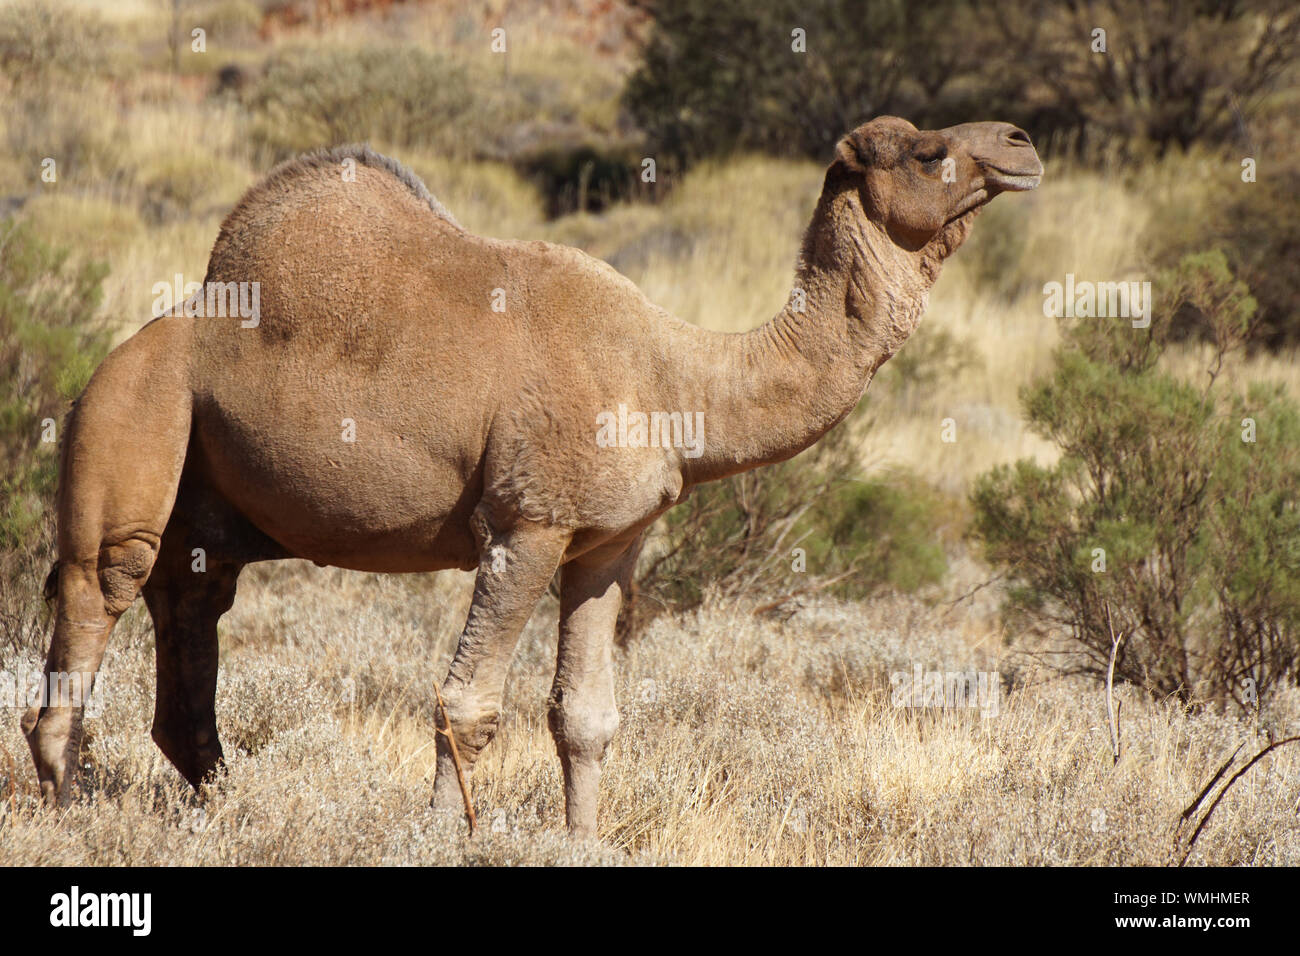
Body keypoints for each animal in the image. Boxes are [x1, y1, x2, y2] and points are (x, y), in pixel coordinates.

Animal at [22, 117, 1041, 837]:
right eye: (928, 151)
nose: (1021, 145)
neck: (675, 379)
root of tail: (114, 355)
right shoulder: (528, 524)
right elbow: (467, 703)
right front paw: (439, 836)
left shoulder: (608, 544)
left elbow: (584, 716)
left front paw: (580, 839)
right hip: (135, 416)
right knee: (101, 586)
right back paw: (69, 814)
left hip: (211, 506)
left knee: (191, 606)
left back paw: (215, 805)